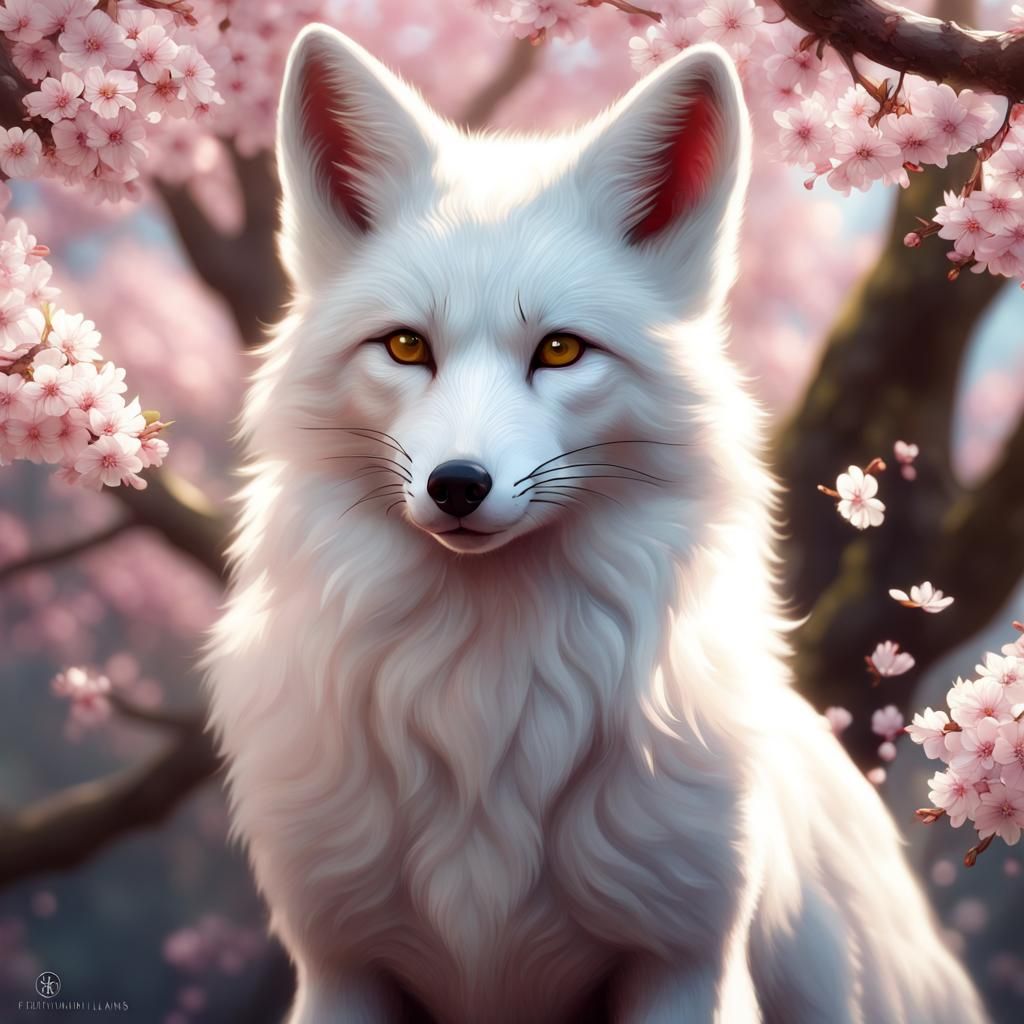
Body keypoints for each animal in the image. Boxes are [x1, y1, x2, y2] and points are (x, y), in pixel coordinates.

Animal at [204, 23, 988, 1024]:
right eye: (407, 346)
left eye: (561, 350)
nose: (459, 485)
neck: (483, 701)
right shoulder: (339, 967)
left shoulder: (683, 964)